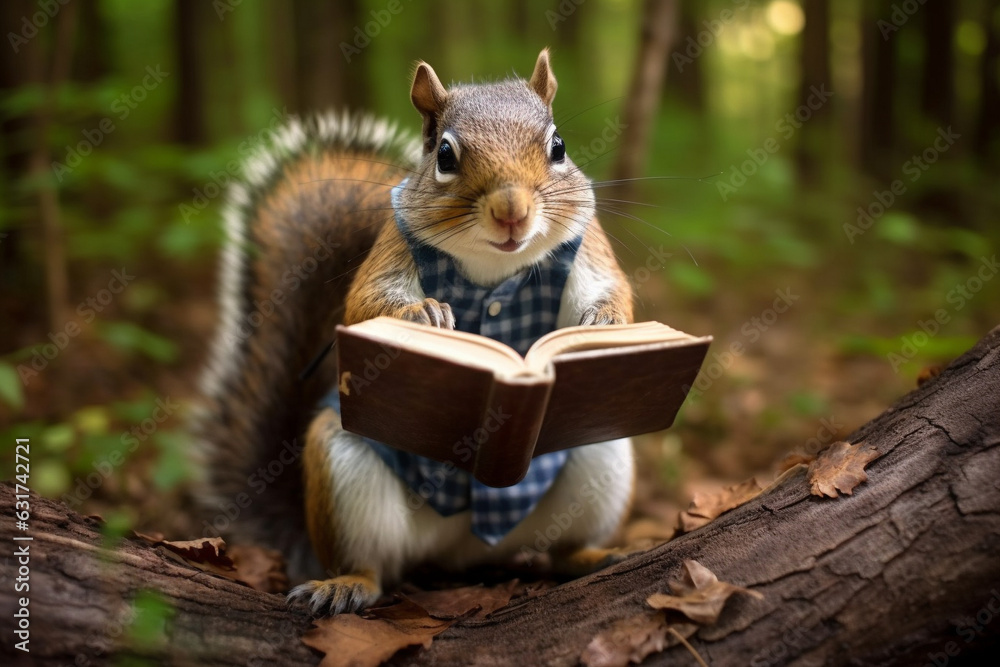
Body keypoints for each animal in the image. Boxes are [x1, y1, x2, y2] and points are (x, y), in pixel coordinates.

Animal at [193, 49, 636, 616]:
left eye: (558, 147)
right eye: (445, 155)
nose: (512, 212)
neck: (493, 264)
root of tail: (459, 552)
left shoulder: (585, 246)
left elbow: (612, 291)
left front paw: (604, 323)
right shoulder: (391, 252)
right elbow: (361, 309)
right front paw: (422, 314)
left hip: (600, 455)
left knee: (559, 546)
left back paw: (591, 555)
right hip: (344, 466)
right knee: (373, 565)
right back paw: (346, 584)